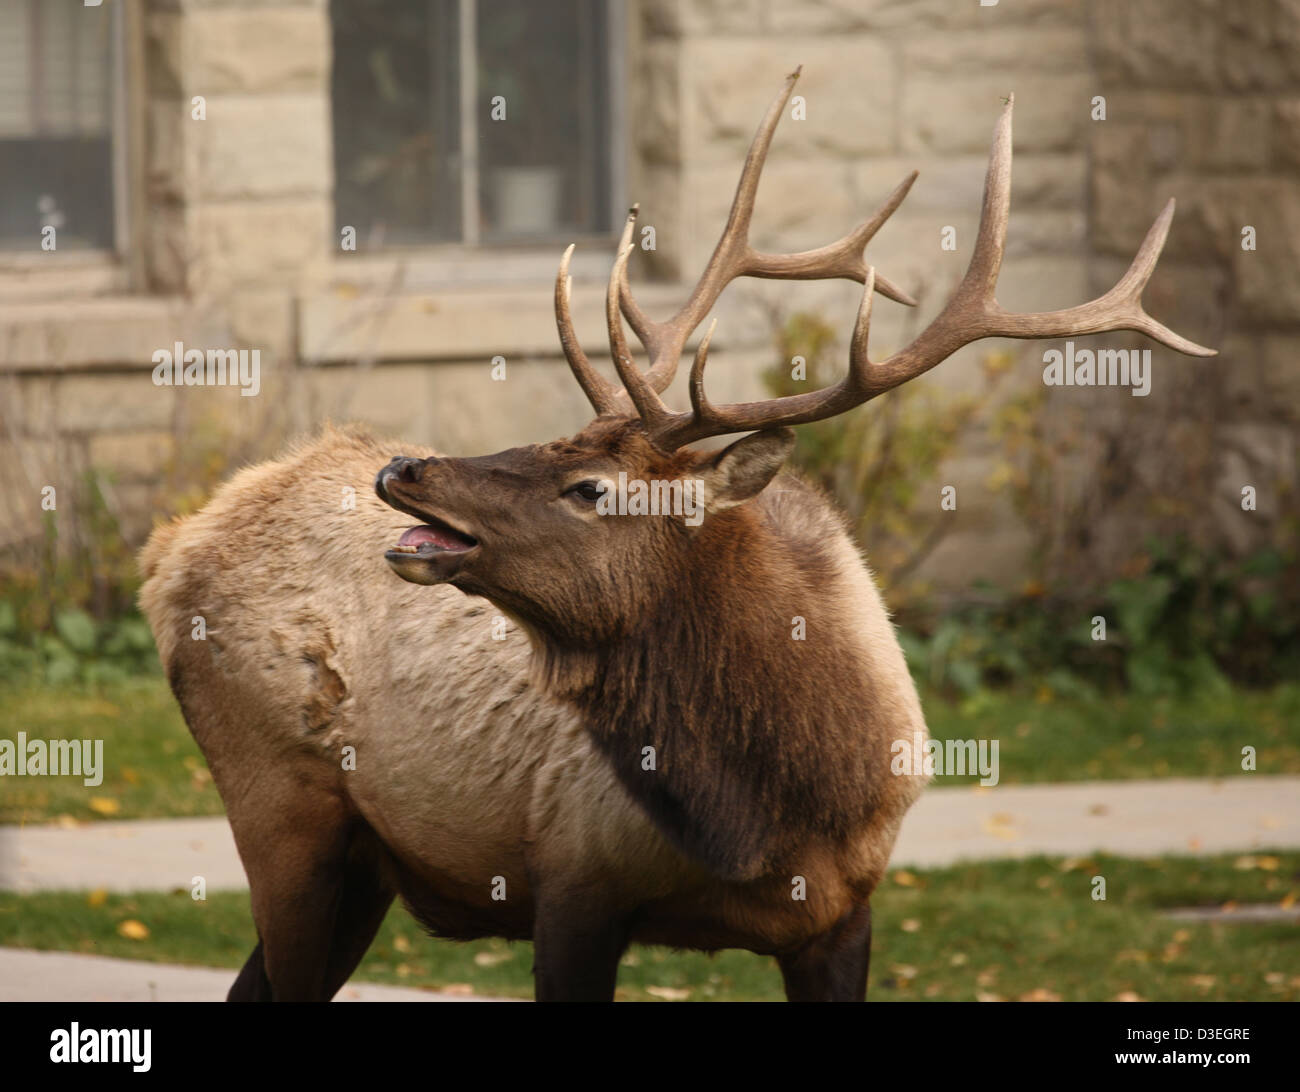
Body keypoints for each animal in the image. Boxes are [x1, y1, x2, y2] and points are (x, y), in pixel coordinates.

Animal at [138, 69, 1213, 1002]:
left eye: (589, 485)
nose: (402, 470)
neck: (775, 817)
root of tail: (171, 553)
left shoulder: (844, 915)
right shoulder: (571, 880)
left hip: (361, 858)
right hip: (281, 803)